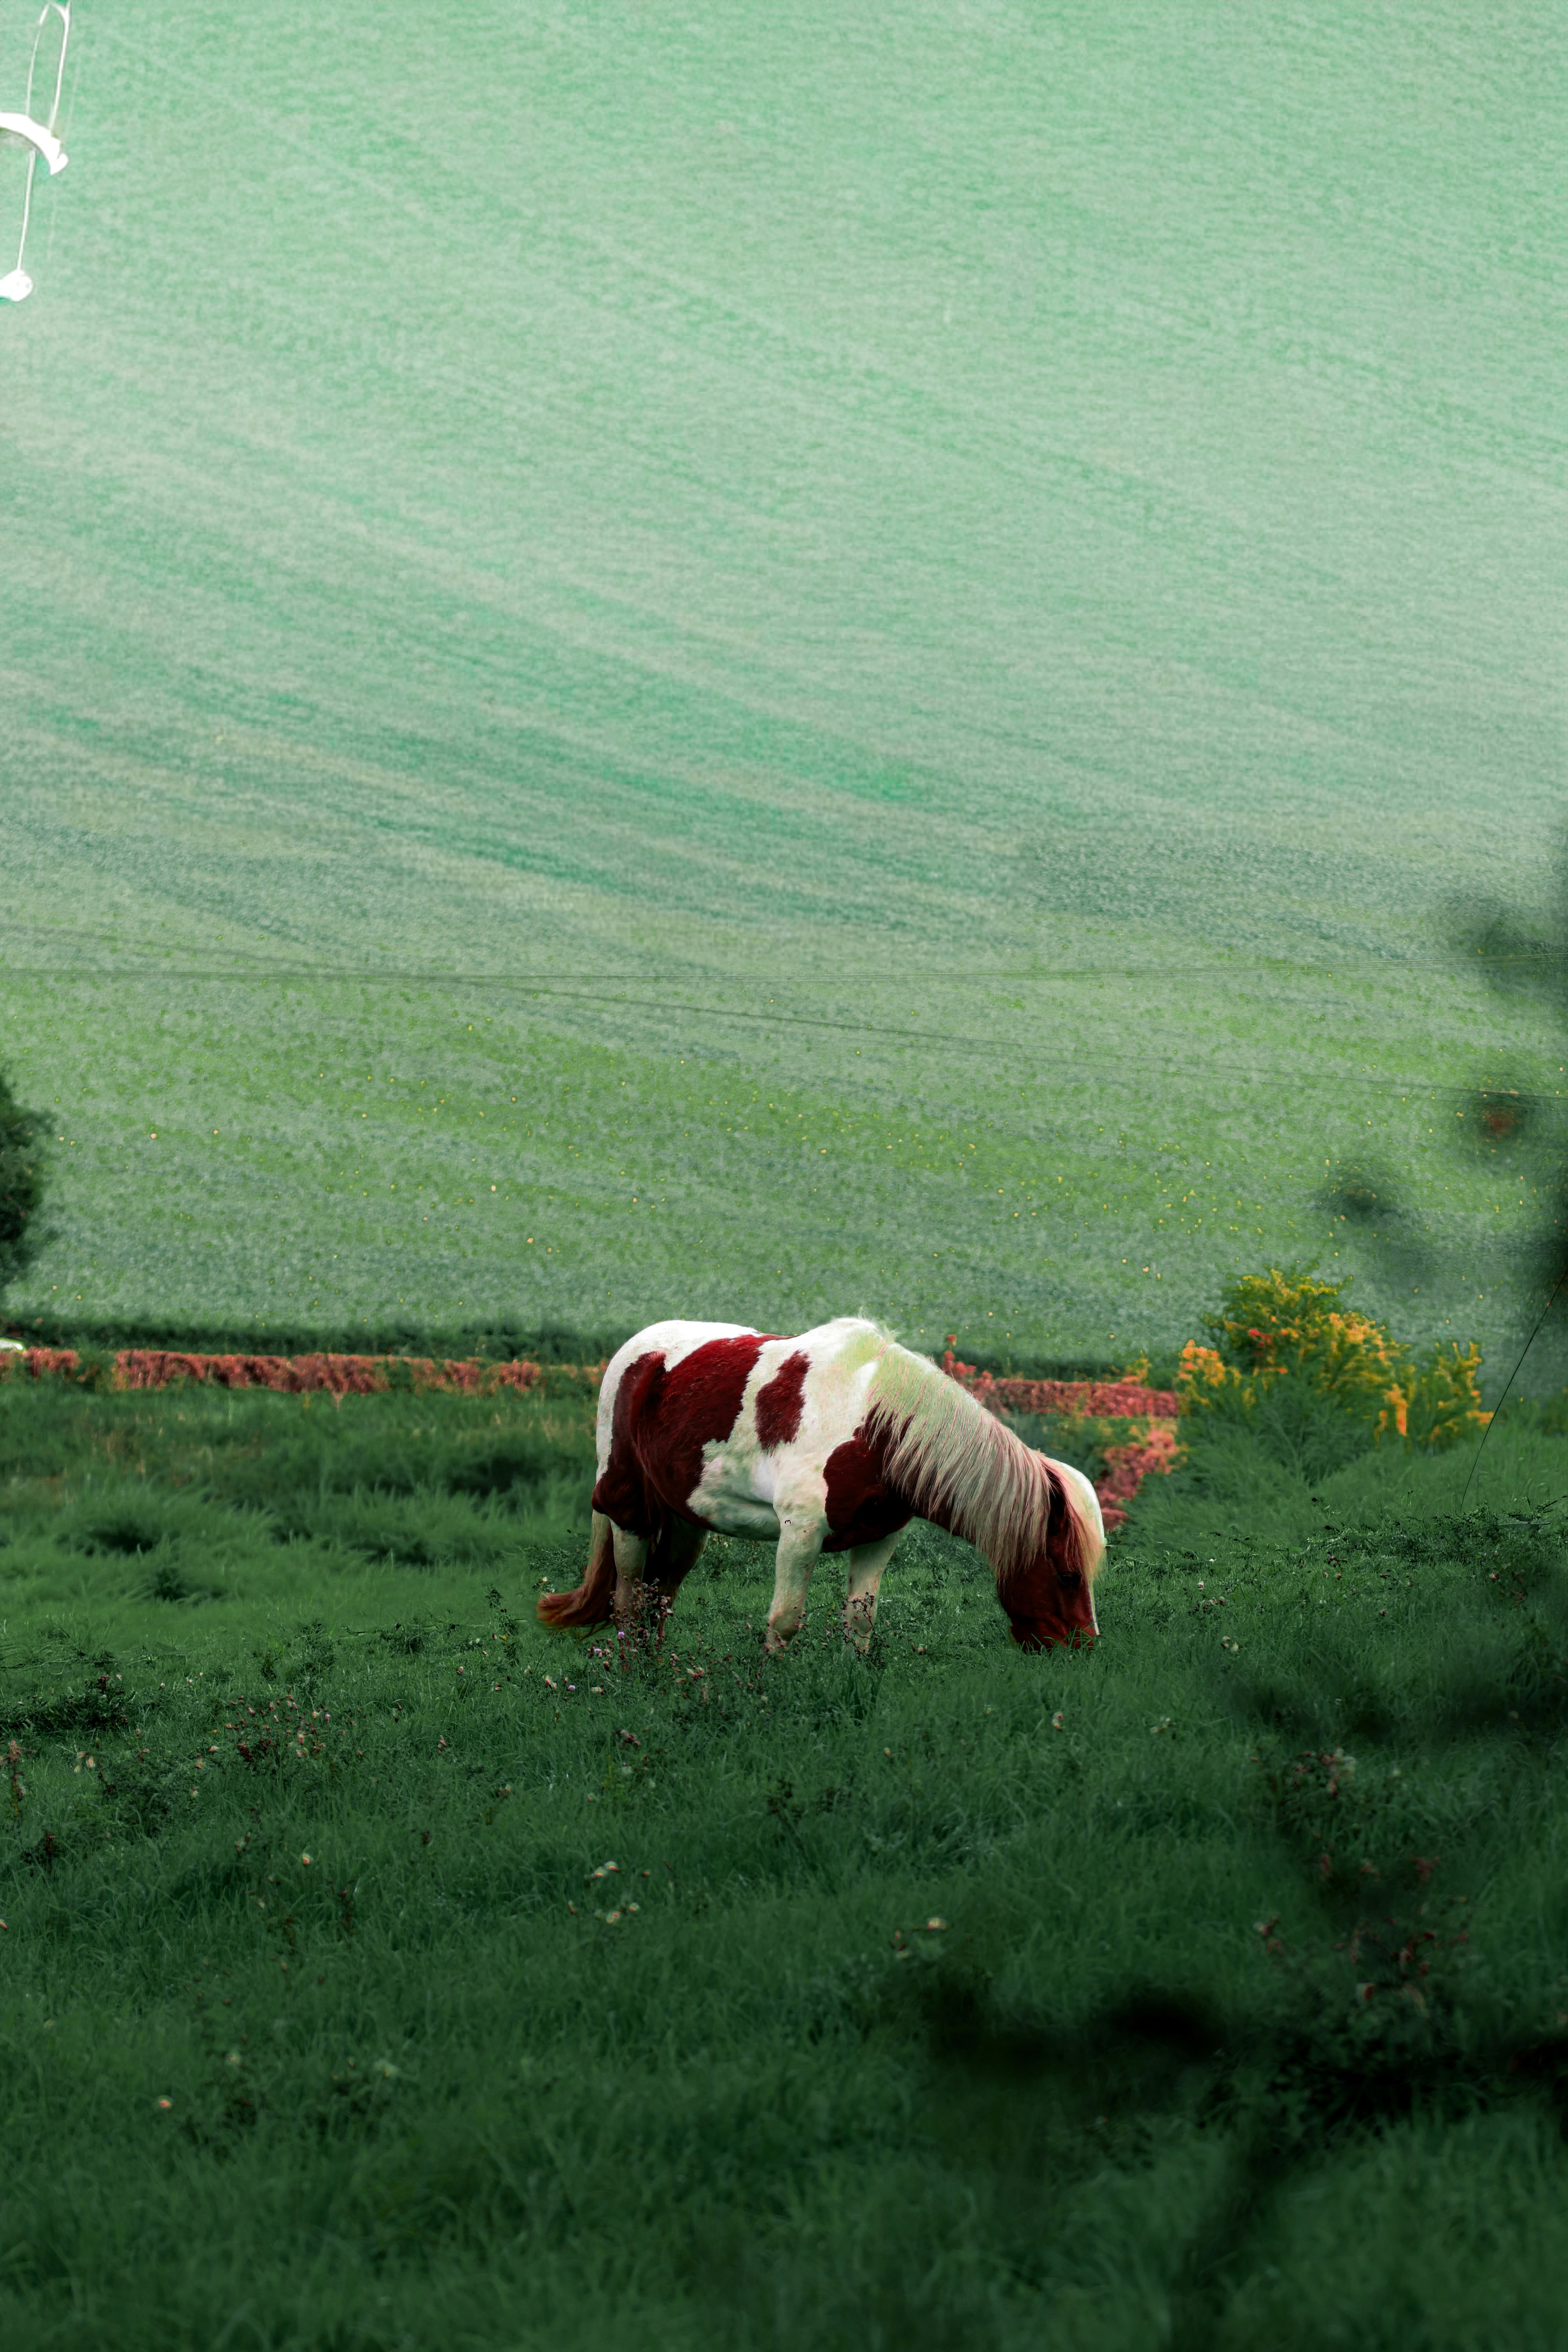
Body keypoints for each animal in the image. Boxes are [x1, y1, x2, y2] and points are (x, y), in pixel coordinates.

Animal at [538, 1316, 1105, 1654]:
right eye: (1069, 1575)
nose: (1081, 1648)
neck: (876, 1430)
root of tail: (637, 1352)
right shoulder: (801, 1532)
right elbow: (784, 1621)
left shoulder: (879, 1537)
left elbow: (860, 1624)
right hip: (630, 1509)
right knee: (628, 1603)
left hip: (684, 1523)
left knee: (659, 1599)